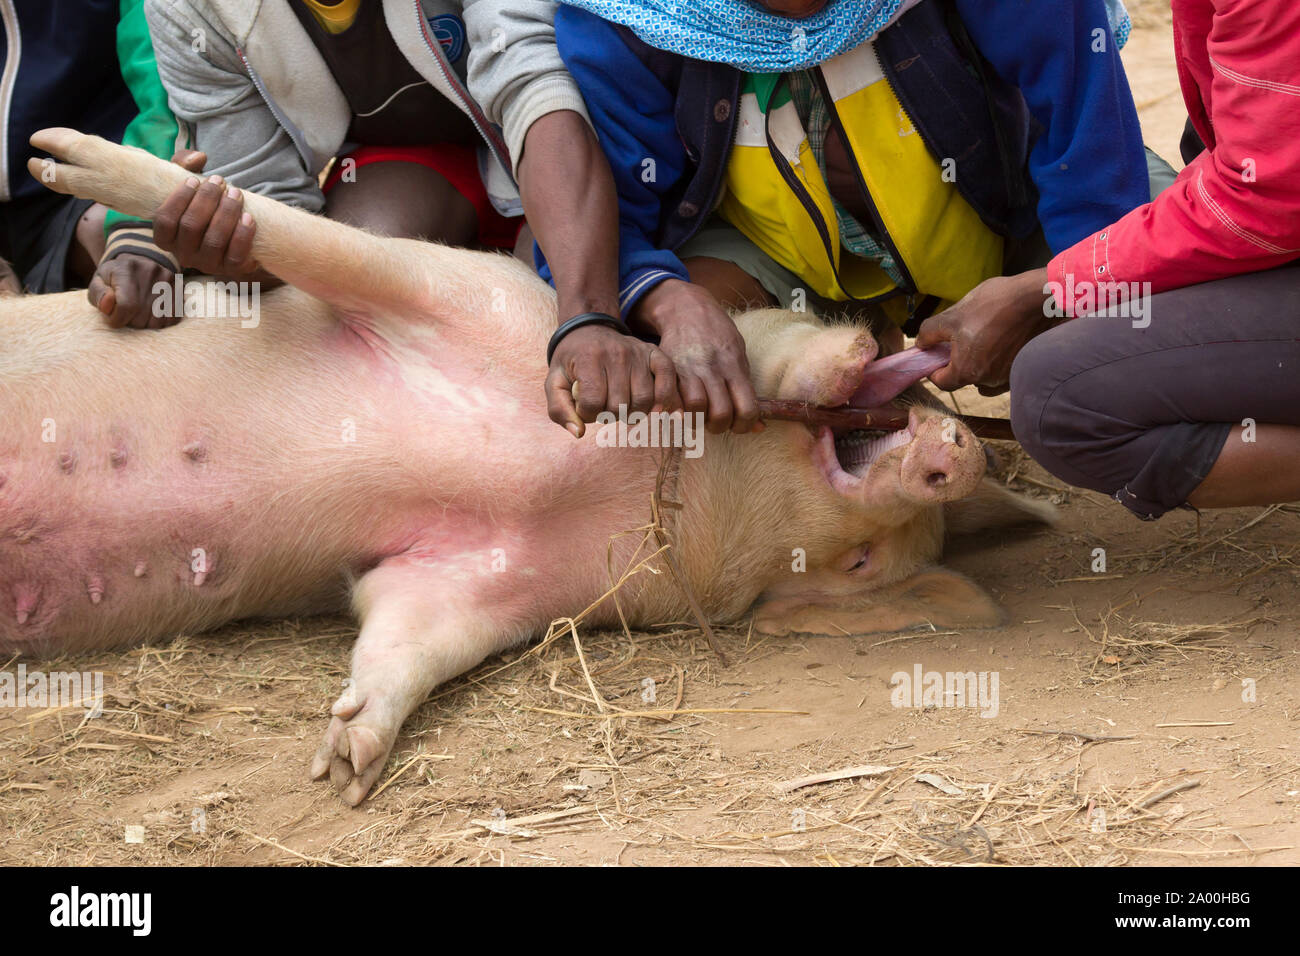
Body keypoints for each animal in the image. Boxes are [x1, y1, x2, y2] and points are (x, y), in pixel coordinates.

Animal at [1, 129, 1052, 804]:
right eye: (918, 402)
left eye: (864, 563)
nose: (961, 452)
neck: (642, 475)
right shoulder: (464, 289)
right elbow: (309, 242)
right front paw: (70, 158)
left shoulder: (479, 582)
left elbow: (403, 642)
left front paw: (343, 763)